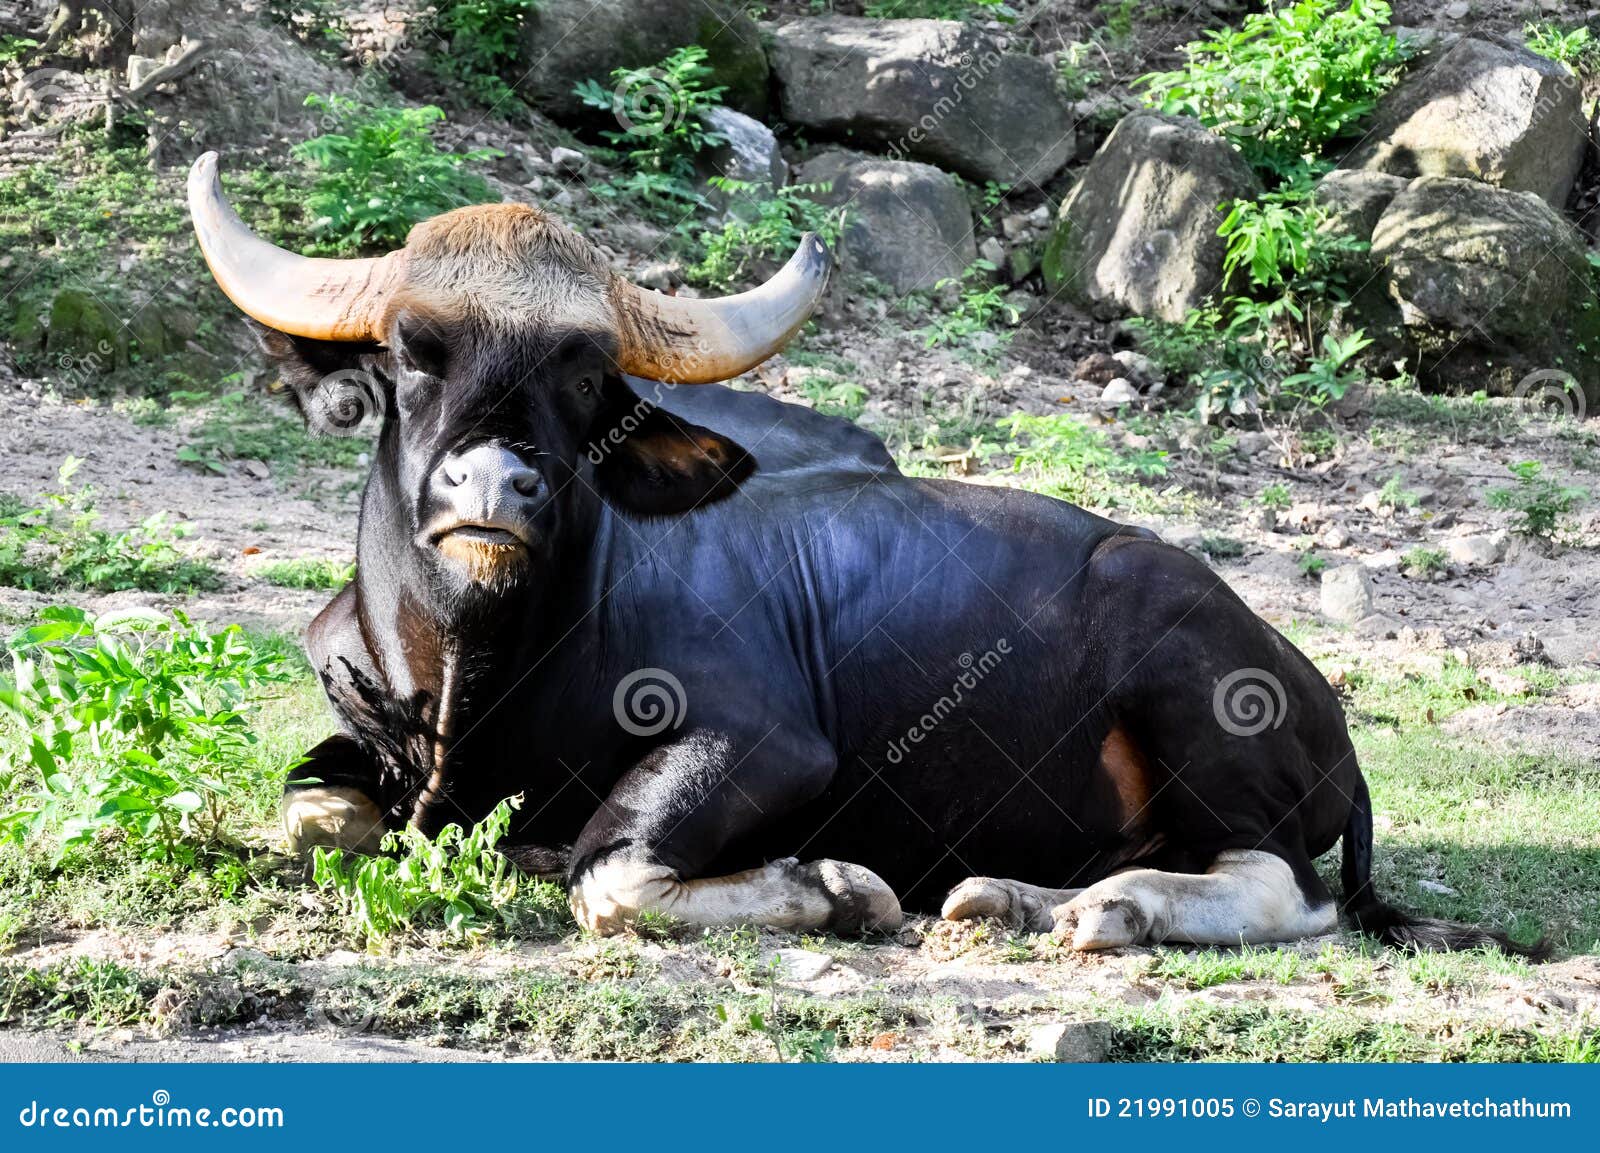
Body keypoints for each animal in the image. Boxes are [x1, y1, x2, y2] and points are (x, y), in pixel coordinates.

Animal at [190, 152, 1538, 955]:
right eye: (410, 350)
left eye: (583, 377)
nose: (493, 484)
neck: (477, 677)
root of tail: (1320, 700)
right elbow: (318, 811)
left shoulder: (767, 739)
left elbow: (609, 872)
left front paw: (837, 887)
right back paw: (1013, 896)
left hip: (1198, 692)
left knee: (1286, 888)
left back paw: (1115, 909)